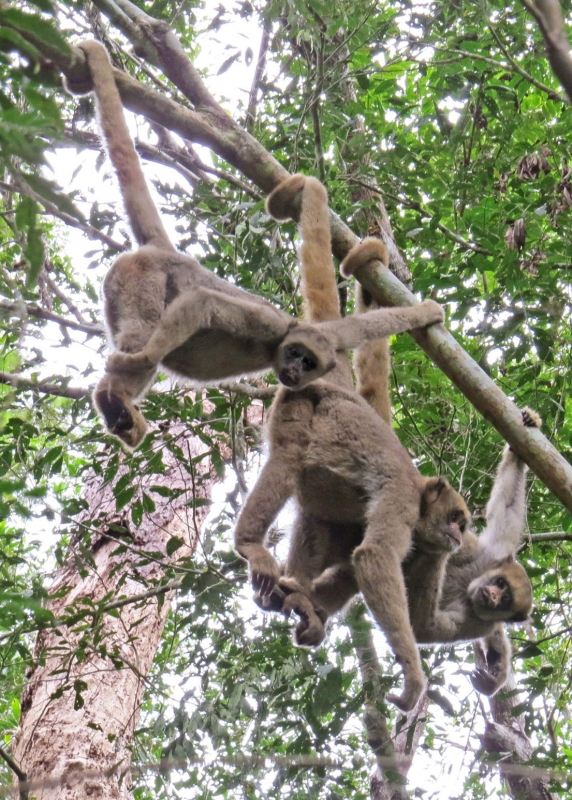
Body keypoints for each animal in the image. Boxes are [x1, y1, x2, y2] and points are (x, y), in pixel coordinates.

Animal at [64, 42, 444, 449]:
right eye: (294, 353)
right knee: (141, 335)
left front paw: (425, 313)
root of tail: (165, 253)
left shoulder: (332, 338)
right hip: (140, 277)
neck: (279, 344)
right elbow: (202, 303)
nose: (293, 369)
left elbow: (371, 325)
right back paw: (119, 388)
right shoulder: (272, 326)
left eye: (308, 362)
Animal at [234, 176, 471, 713]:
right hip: (297, 399)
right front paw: (414, 677)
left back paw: (294, 594)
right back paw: (254, 548)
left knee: (321, 519)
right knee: (288, 458)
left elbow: (359, 569)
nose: (459, 537)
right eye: (456, 518)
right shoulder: (403, 500)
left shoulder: (425, 548)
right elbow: (373, 560)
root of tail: (329, 379)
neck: (420, 489)